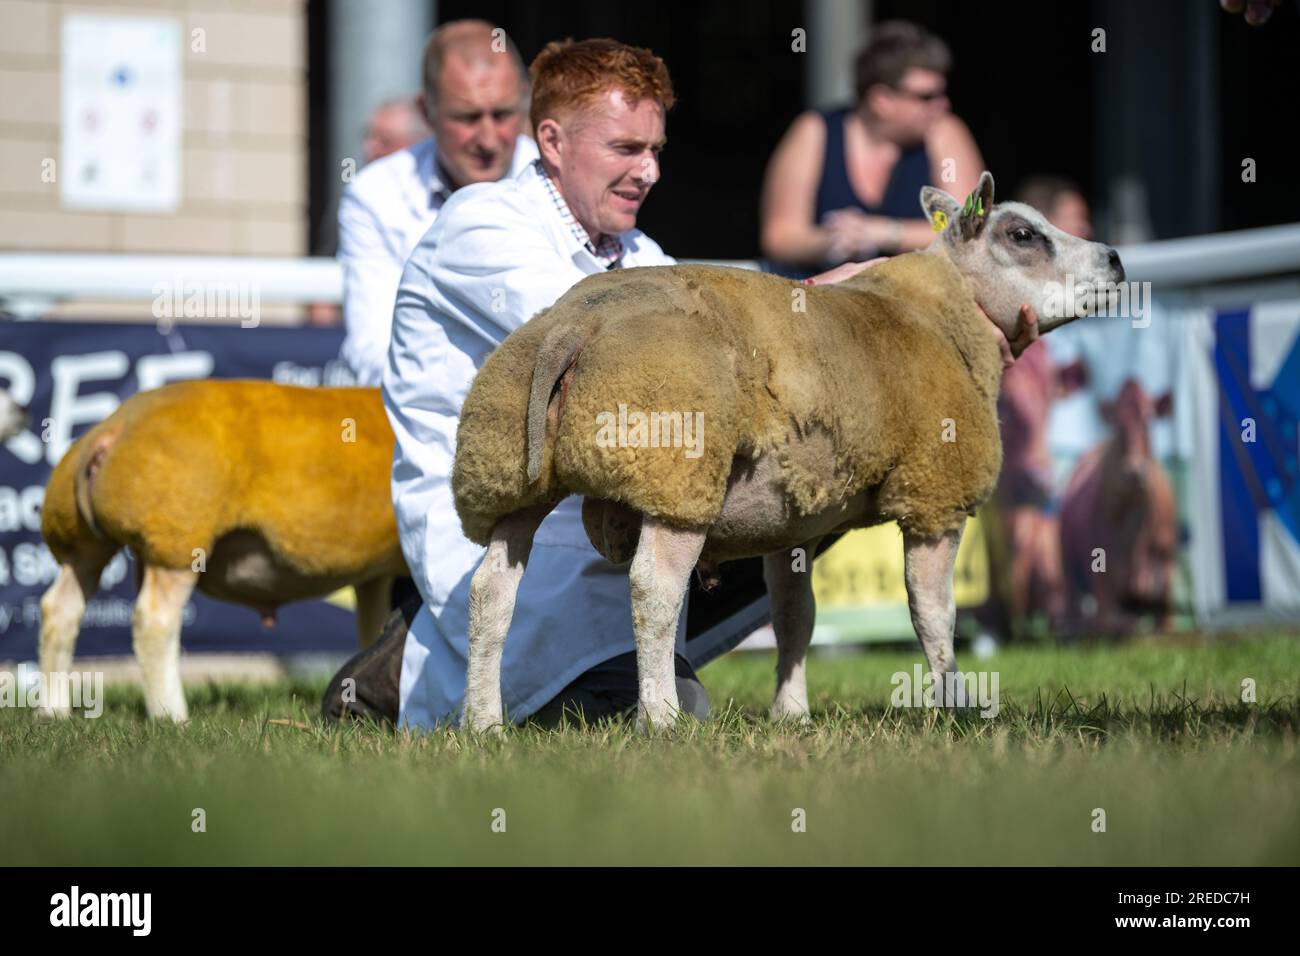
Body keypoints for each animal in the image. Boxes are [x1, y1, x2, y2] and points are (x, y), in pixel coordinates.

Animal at [38, 379, 405, 720]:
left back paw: (54, 710)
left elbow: (372, 626)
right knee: (154, 620)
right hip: (177, 538)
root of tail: (110, 431)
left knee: (60, 609)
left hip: (82, 544)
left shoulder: (375, 575)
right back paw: (171, 714)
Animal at [452, 172, 1126, 731]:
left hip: (507, 471)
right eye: (1022, 234)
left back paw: (484, 722)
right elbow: (934, 613)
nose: (1117, 261)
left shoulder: (790, 519)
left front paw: (791, 714)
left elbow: (795, 615)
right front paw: (957, 708)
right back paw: (662, 719)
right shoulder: (935, 493)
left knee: (491, 591)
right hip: (676, 472)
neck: (942, 312)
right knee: (653, 588)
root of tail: (575, 325)